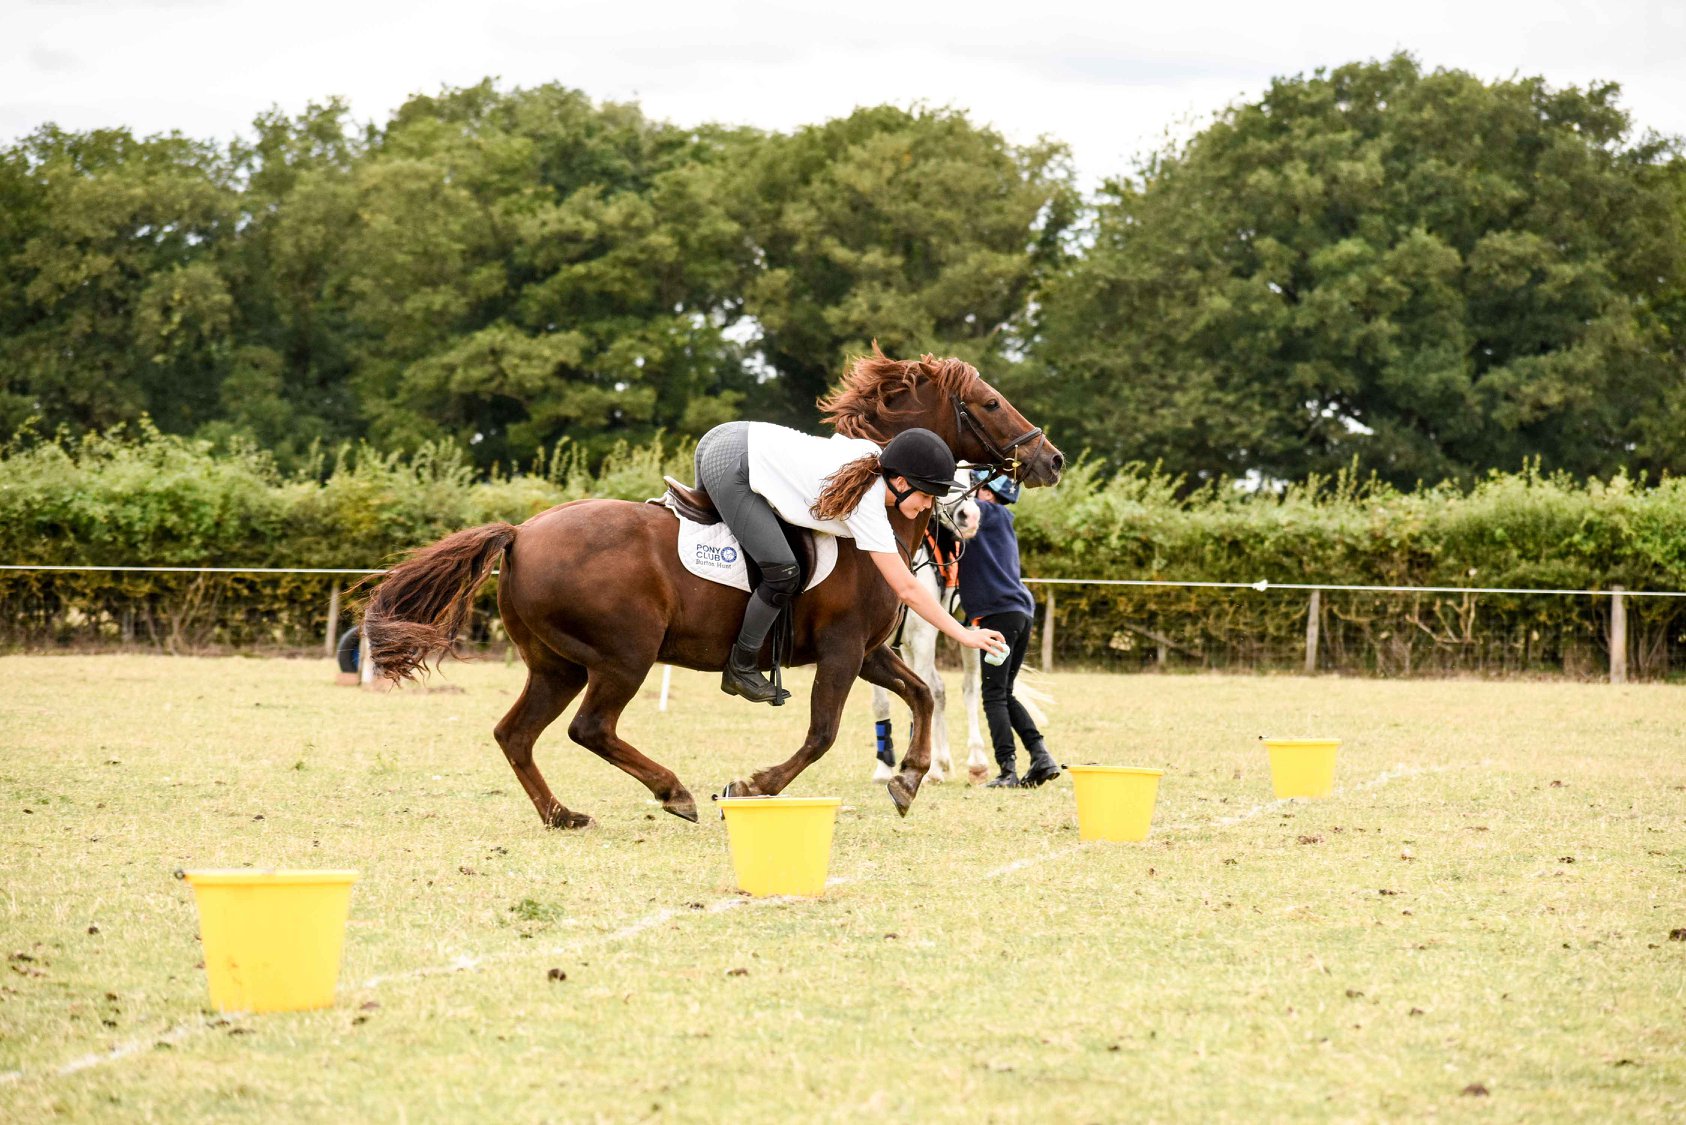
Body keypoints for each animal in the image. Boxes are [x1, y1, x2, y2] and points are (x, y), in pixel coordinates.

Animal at [360, 349, 1063, 828]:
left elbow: (919, 694)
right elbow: (824, 732)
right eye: (992, 403)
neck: (876, 491)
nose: (1050, 459)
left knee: (516, 734)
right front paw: (752, 787)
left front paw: (909, 780)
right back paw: (674, 792)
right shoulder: (841, 650)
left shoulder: (865, 650)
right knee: (590, 728)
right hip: (624, 655)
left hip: (556, 664)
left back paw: (563, 815)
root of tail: (521, 533)